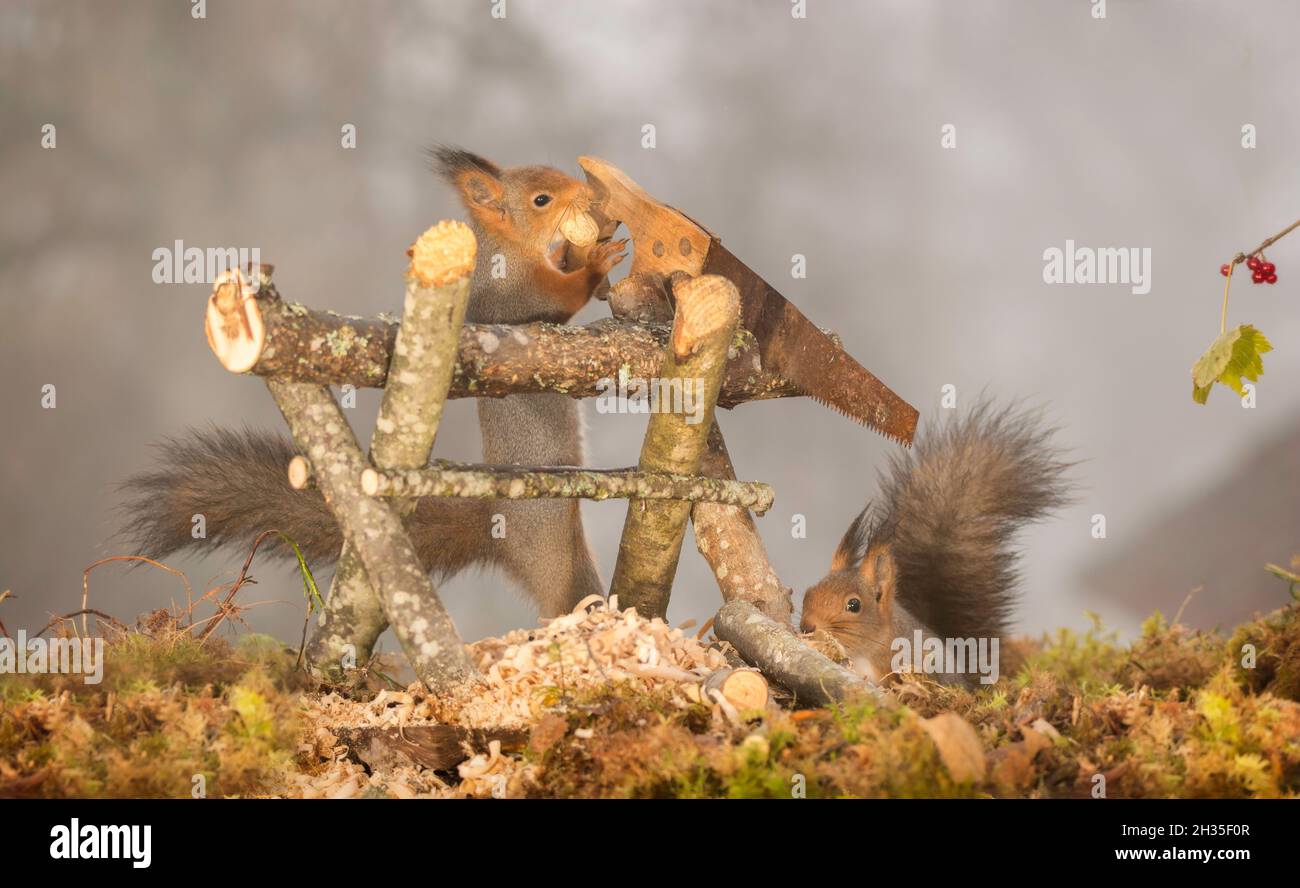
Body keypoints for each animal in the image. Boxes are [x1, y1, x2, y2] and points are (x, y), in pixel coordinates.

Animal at [121, 148, 627, 618]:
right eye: (542, 199)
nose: (588, 196)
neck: (508, 251)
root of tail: (499, 529)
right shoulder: (519, 298)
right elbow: (559, 298)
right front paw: (596, 261)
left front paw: (575, 251)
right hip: (555, 555)